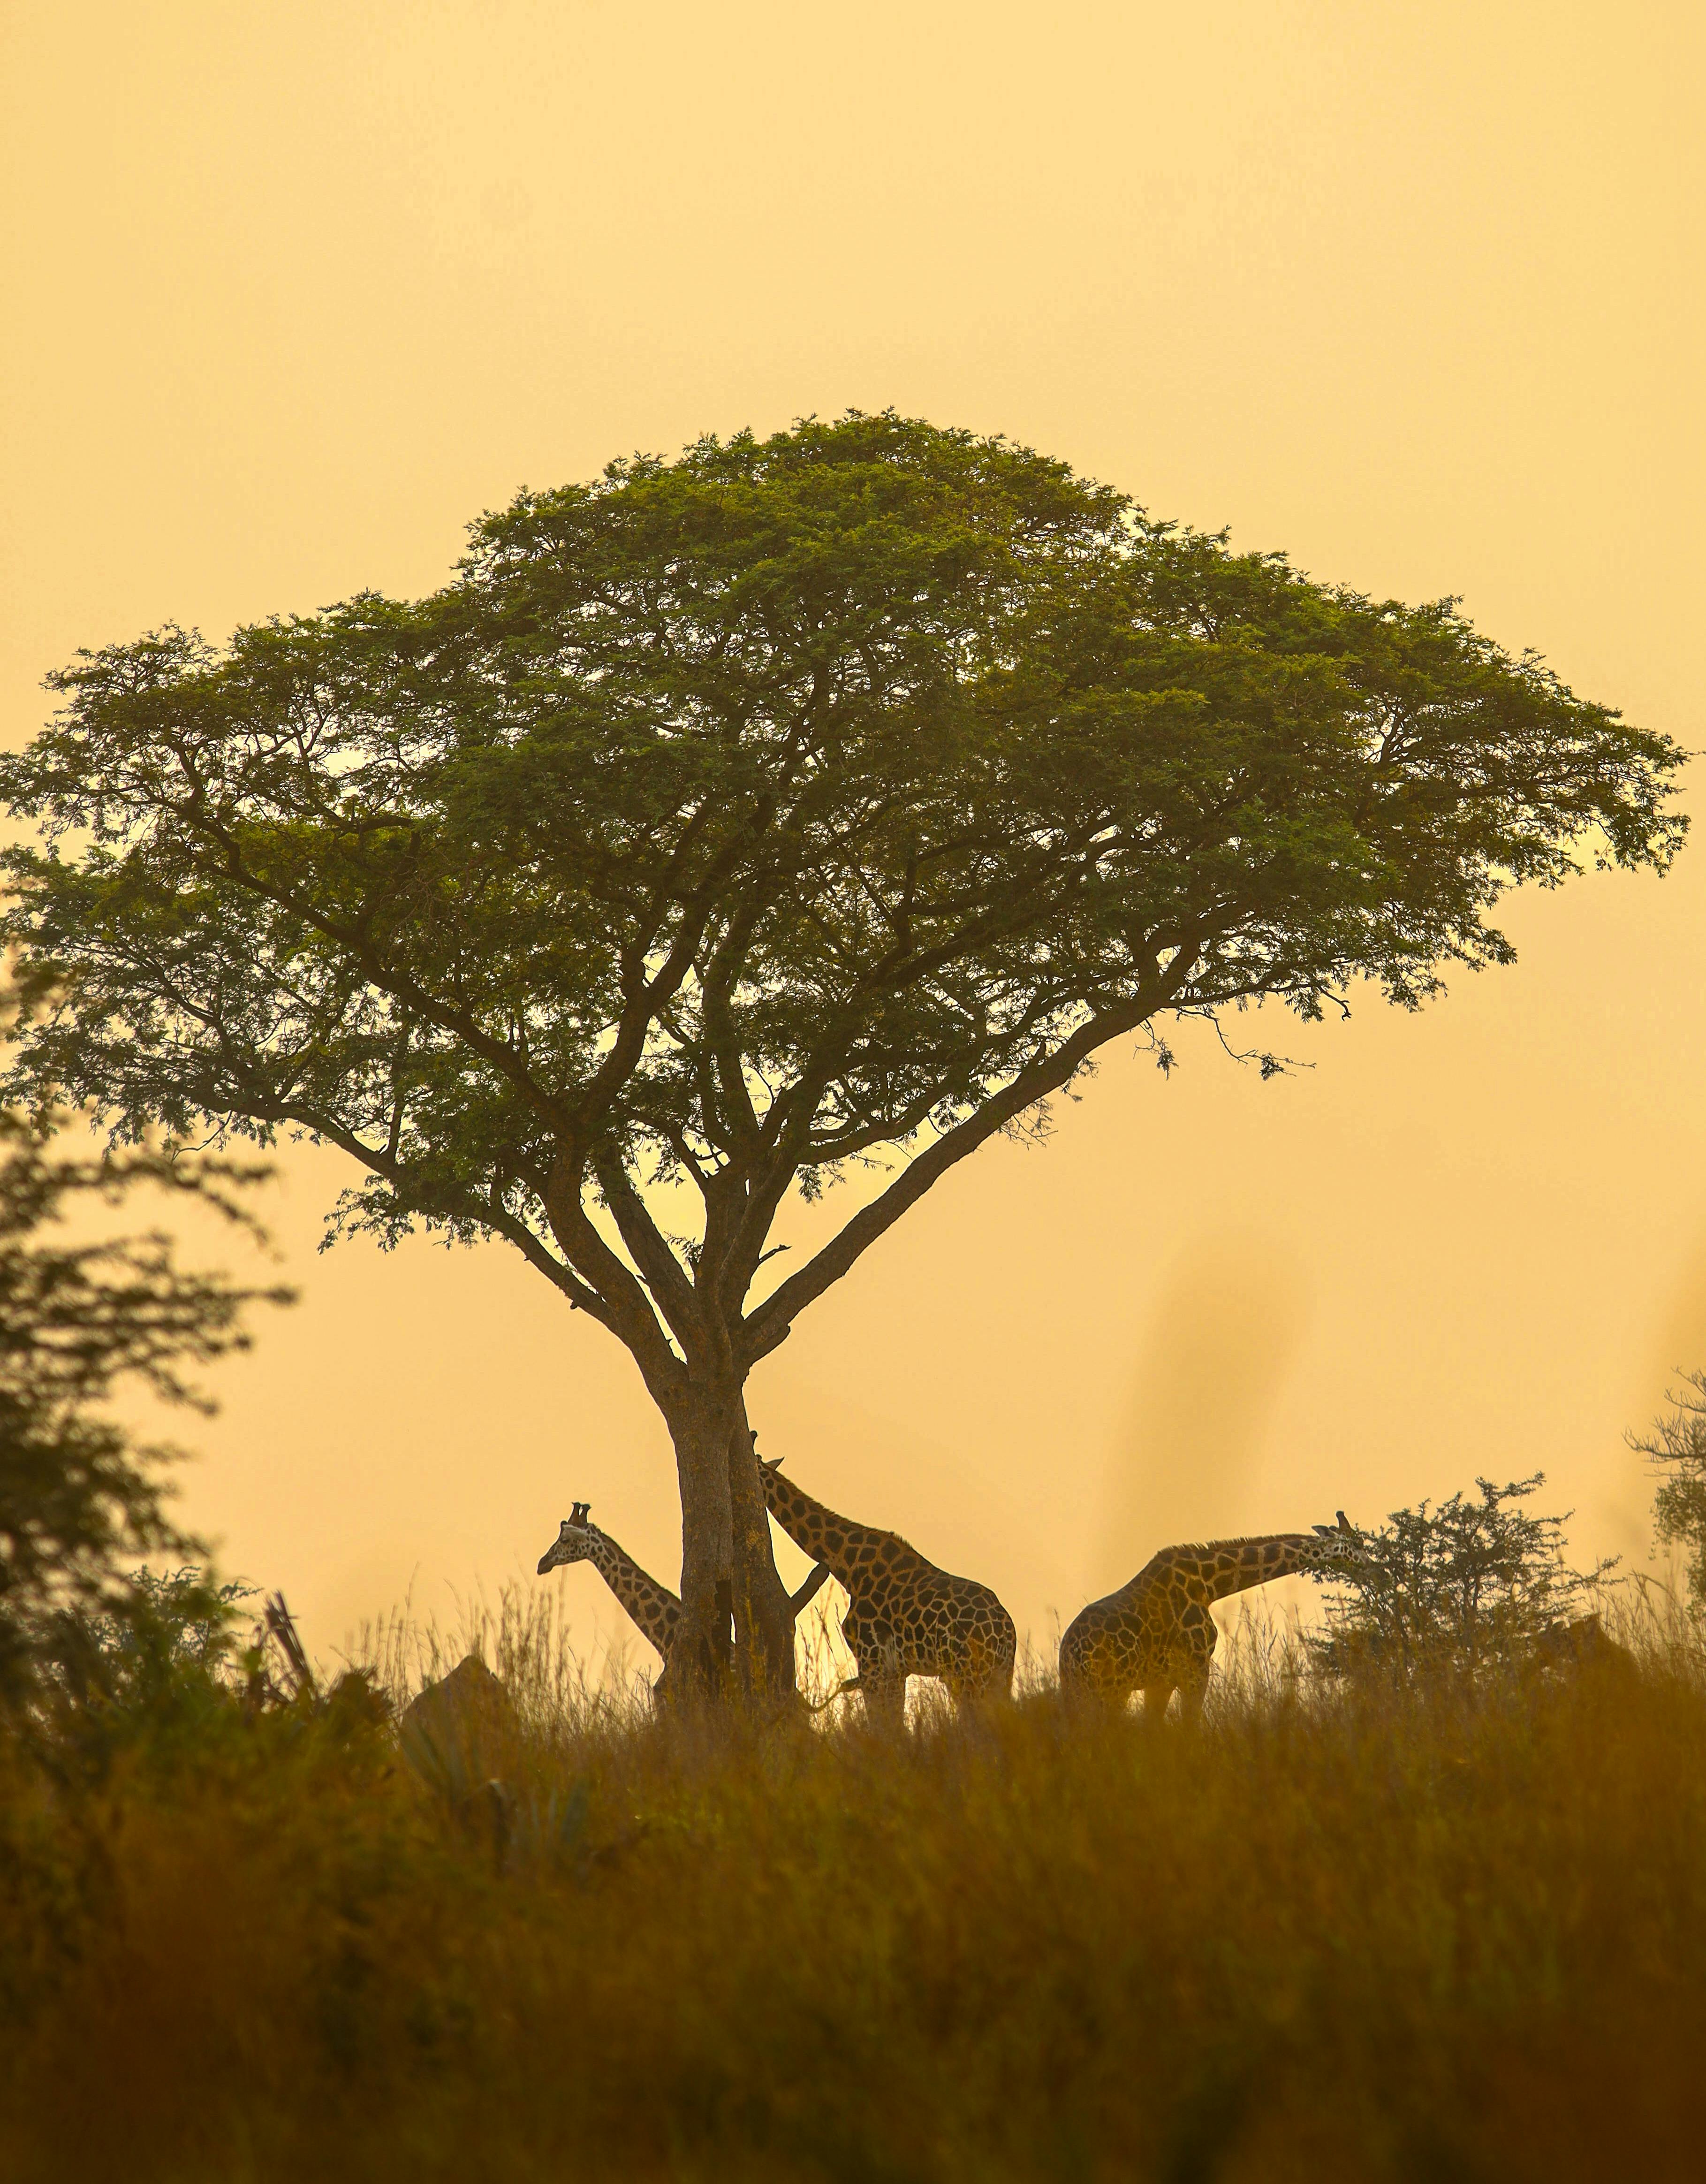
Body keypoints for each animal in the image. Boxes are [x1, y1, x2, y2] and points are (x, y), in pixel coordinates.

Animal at [757, 1453, 1017, 1729]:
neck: (847, 1564)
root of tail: (1005, 1629)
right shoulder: (896, 1670)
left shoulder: (871, 1661)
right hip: (999, 1673)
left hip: (965, 1673)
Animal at [1059, 1525, 1343, 1723]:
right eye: (1349, 1546)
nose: (1358, 1567)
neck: (1208, 1583)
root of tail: (1069, 1652)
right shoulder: (1195, 1669)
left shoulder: (1161, 1680)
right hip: (1105, 1687)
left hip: (1083, 1688)